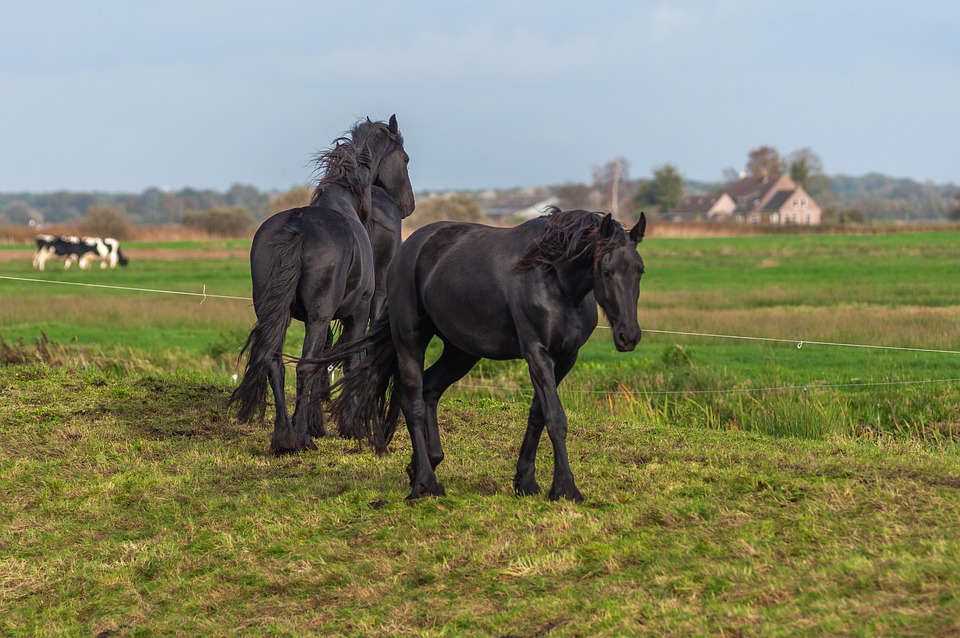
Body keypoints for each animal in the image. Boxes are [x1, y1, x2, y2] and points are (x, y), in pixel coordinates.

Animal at [322, 208, 646, 502]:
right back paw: (426, 484)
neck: (555, 282)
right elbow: (555, 418)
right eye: (606, 271)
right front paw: (566, 489)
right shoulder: (537, 353)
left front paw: (525, 482)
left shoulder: (566, 358)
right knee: (412, 399)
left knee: (430, 390)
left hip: (461, 352)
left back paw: (422, 466)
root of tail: (410, 247)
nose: (629, 337)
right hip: (410, 340)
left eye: (639, 270)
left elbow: (538, 415)